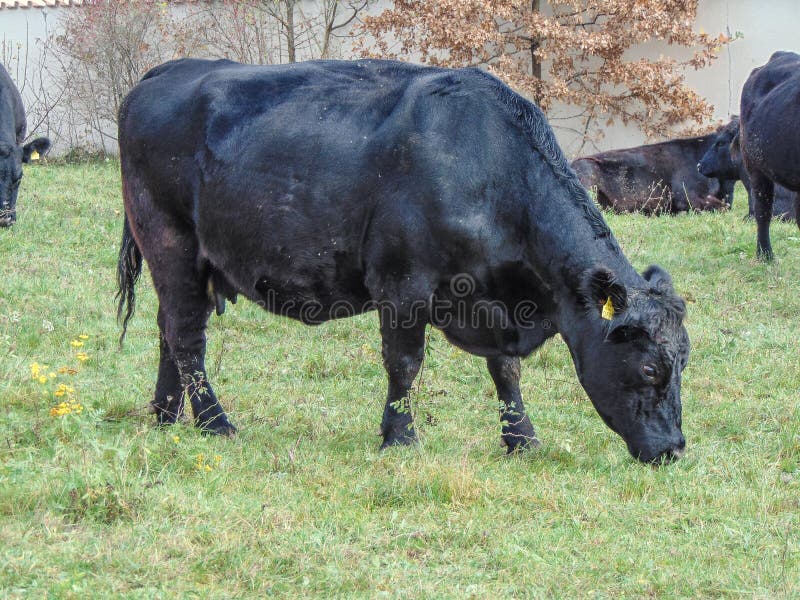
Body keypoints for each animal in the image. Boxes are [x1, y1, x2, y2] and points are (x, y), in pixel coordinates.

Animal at [116, 58, 690, 464]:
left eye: (684, 362)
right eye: (648, 367)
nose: (674, 449)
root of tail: (165, 70)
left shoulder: (492, 302)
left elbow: (506, 371)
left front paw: (521, 440)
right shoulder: (402, 284)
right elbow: (405, 364)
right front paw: (399, 438)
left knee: (169, 328)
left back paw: (166, 414)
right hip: (170, 241)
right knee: (187, 337)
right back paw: (215, 423)